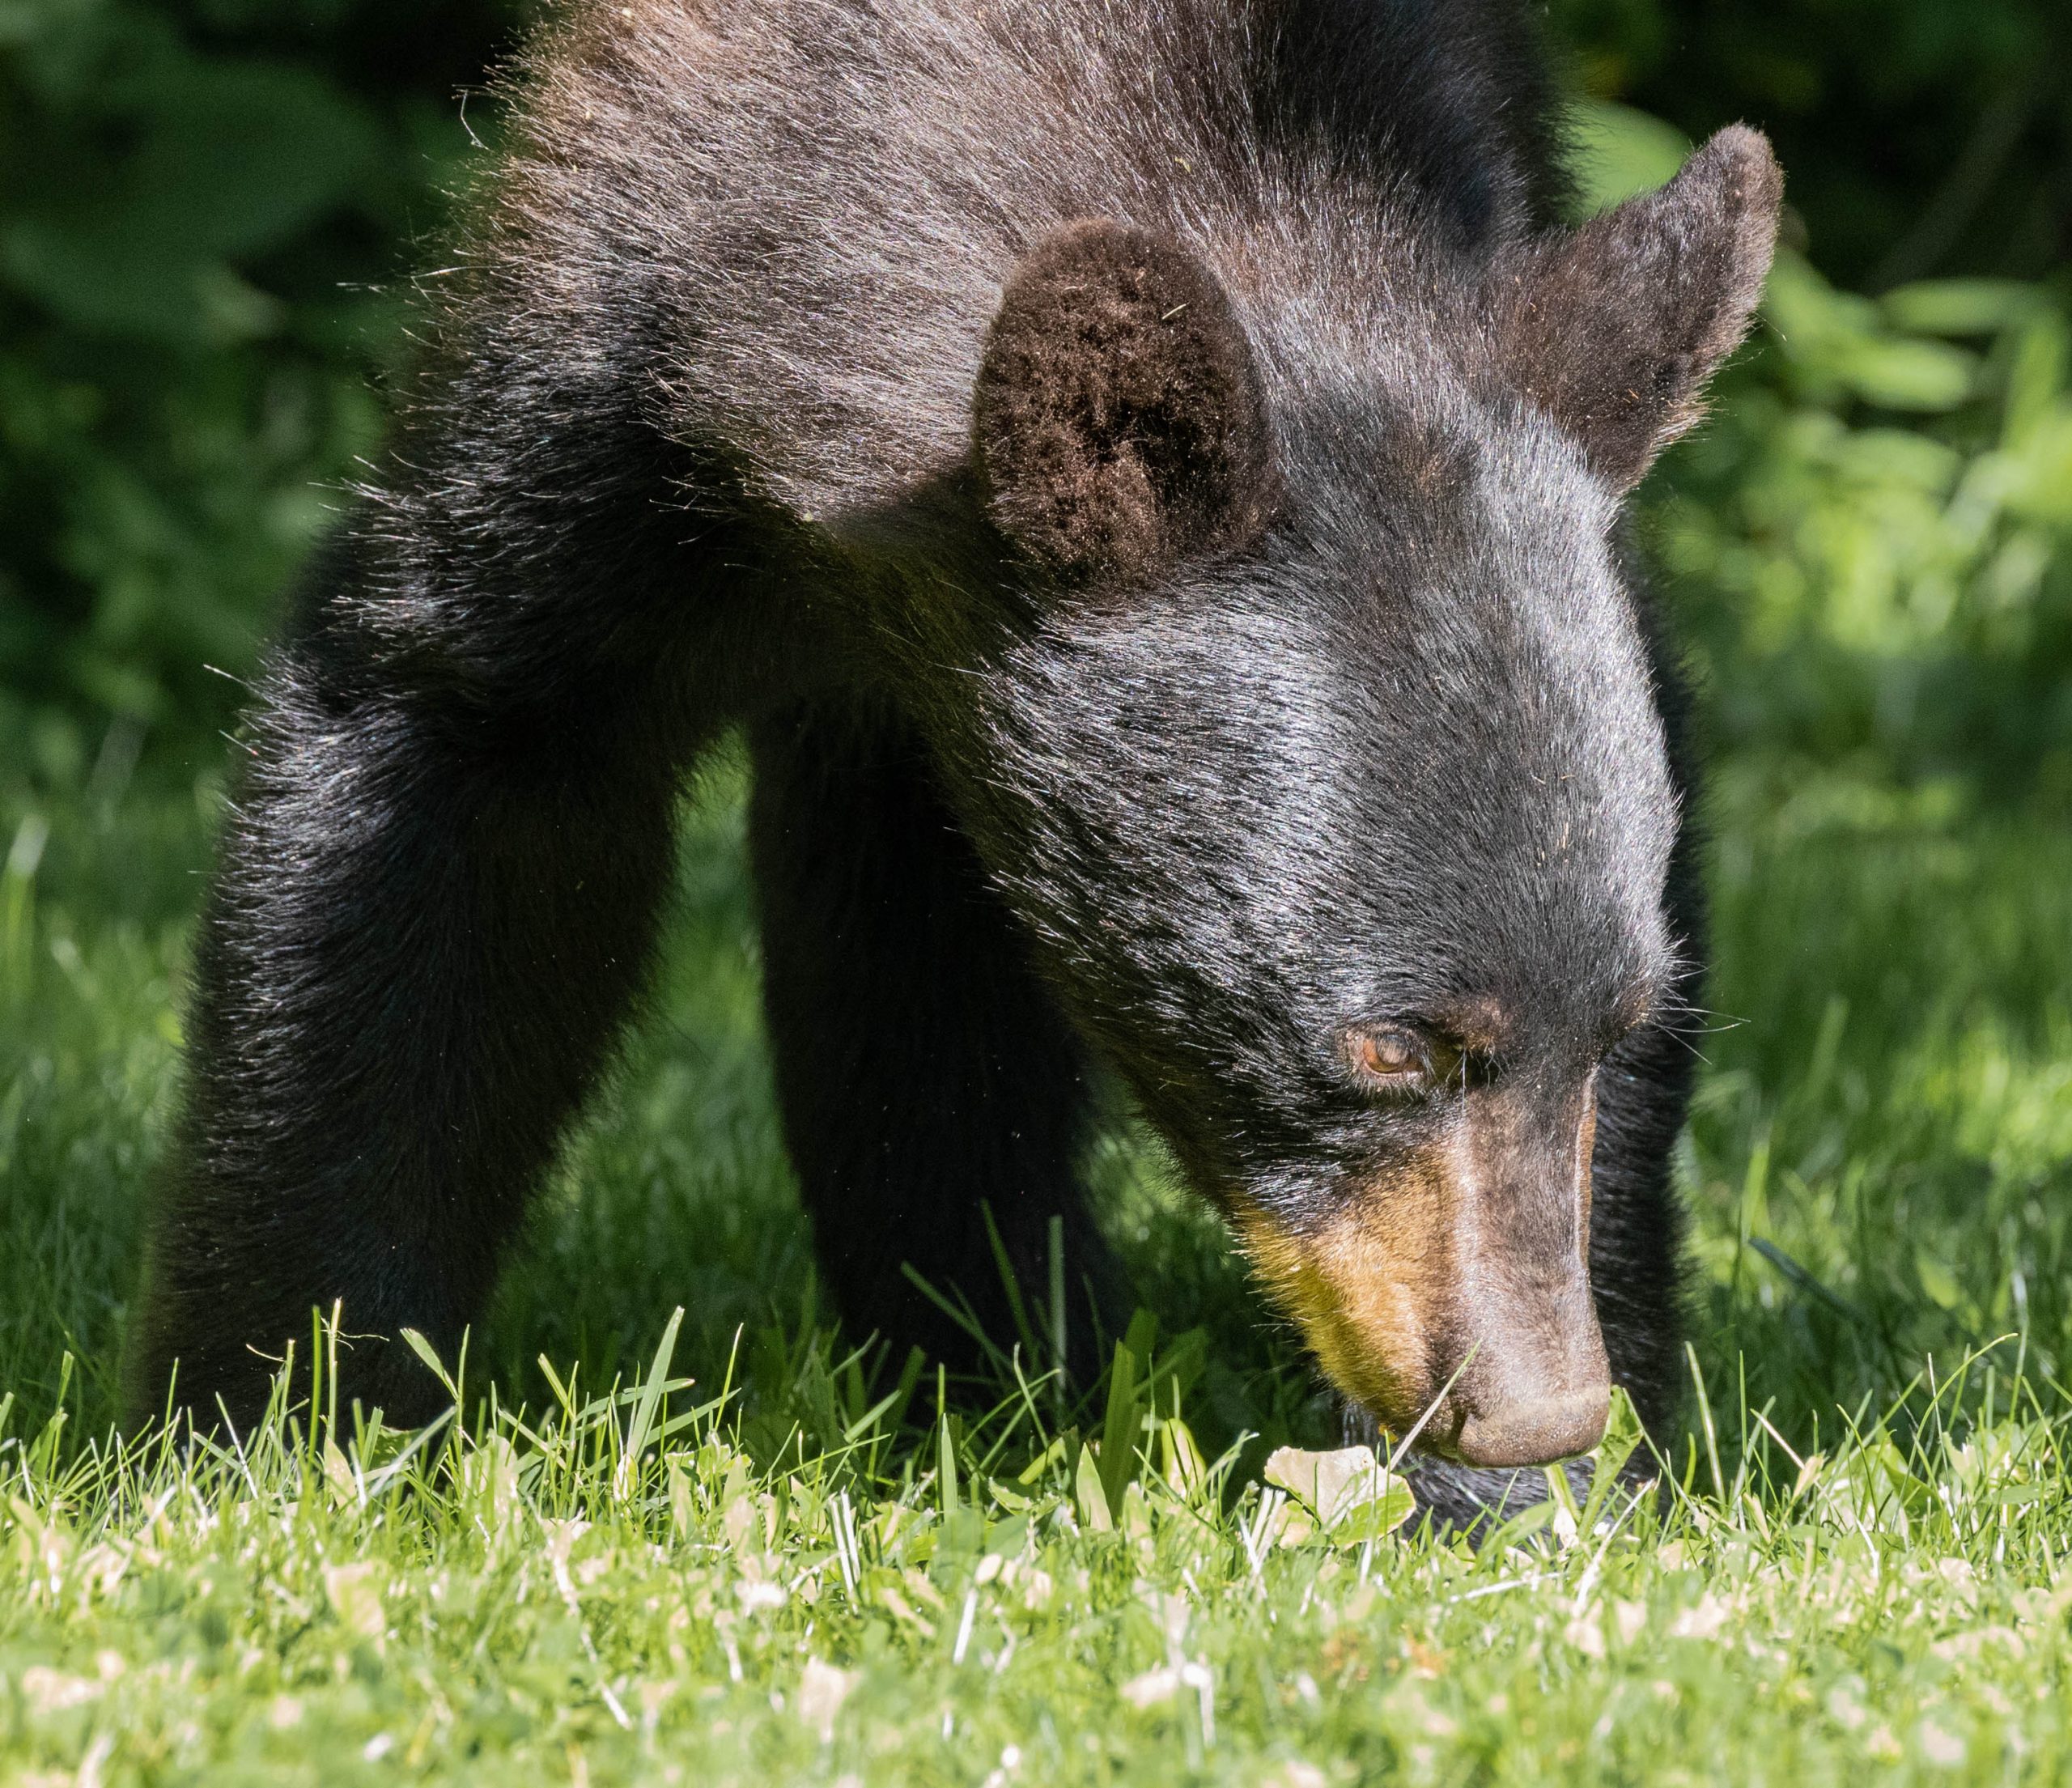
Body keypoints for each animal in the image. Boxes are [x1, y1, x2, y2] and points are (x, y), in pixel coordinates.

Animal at [128, 0, 1781, 1515]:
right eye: (1387, 1046)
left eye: (1631, 1019)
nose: (1535, 1414)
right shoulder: (617, 332)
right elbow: (445, 785)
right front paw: (276, 1437)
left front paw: (1562, 1496)